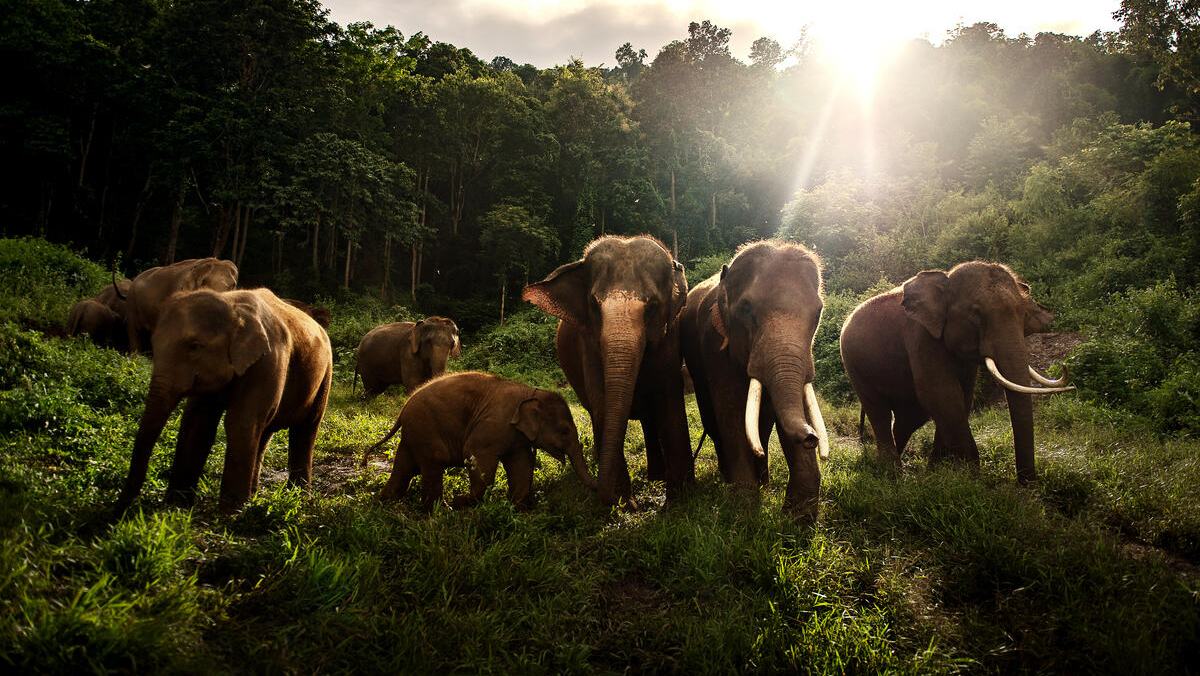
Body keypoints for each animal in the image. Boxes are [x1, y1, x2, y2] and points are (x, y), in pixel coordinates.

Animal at [116, 288, 333, 514]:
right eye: (154, 343)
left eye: (194, 346)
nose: (119, 512)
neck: (231, 303)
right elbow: (198, 422)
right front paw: (176, 506)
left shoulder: (269, 360)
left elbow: (240, 421)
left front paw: (230, 512)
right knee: (264, 430)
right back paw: (254, 496)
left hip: (326, 373)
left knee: (306, 428)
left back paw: (298, 497)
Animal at [362, 371, 595, 511]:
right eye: (565, 431)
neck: (531, 391)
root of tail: (402, 410)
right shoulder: (495, 425)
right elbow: (475, 454)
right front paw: (463, 501)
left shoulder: (516, 437)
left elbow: (521, 464)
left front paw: (517, 507)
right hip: (425, 429)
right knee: (432, 465)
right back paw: (440, 509)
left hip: (414, 435)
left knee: (404, 468)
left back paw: (383, 502)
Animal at [523, 235, 694, 508]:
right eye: (594, 304)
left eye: (652, 306)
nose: (608, 497)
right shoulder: (588, 344)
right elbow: (602, 403)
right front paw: (626, 503)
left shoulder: (669, 340)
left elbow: (669, 403)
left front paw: (678, 501)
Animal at [681, 240, 830, 521]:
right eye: (746, 309)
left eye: (818, 313)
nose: (811, 437)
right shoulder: (714, 344)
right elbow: (731, 412)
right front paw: (744, 514)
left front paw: (798, 521)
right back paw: (731, 478)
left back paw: (763, 480)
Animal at [839, 261, 1073, 483]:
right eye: (976, 315)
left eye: (1023, 315)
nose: (1027, 484)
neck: (946, 277)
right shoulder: (921, 337)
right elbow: (943, 395)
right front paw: (971, 476)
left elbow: (962, 397)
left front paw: (938, 472)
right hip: (854, 364)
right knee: (879, 411)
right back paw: (891, 473)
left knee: (911, 416)